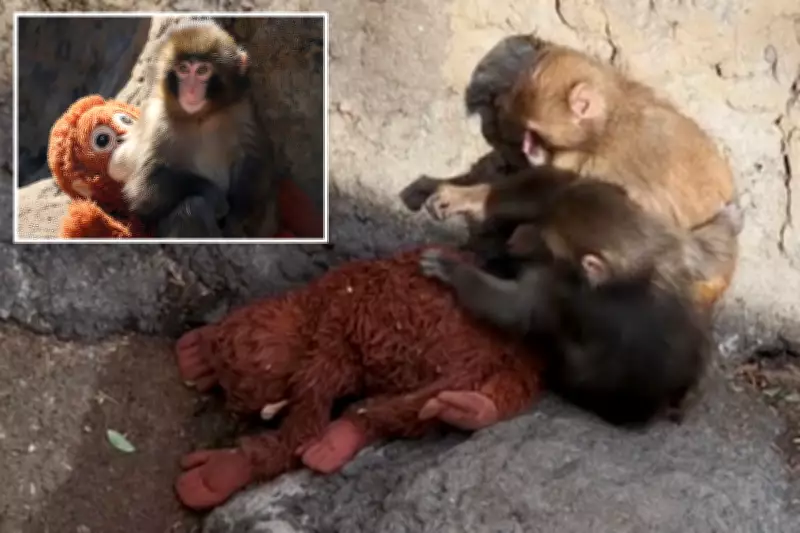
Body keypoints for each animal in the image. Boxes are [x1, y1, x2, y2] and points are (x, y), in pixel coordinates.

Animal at [121, 18, 279, 238]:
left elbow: (257, 161)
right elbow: (143, 189)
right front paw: (214, 197)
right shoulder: (157, 119)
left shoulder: (242, 109)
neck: (201, 117)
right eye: (183, 69)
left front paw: (235, 218)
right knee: (193, 207)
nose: (190, 90)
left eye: (202, 71)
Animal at [418, 176, 743, 427]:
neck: (635, 262)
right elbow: (708, 251)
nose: (520, 240)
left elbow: (518, 309)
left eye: (548, 242)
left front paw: (453, 271)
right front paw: (730, 218)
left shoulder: (559, 288)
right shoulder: (668, 241)